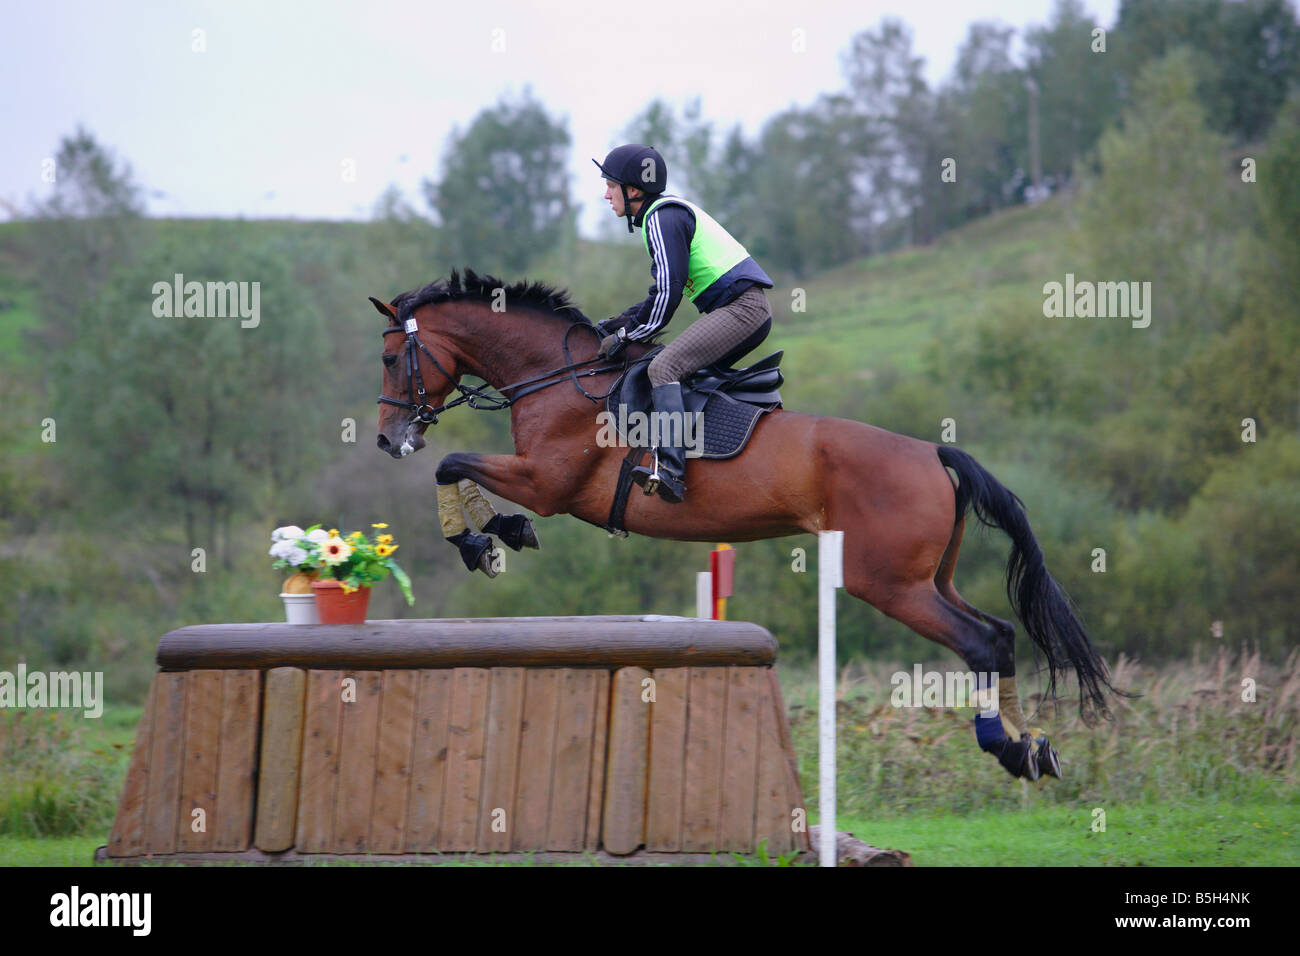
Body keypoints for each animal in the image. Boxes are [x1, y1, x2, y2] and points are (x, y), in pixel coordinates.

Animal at [371, 268, 1124, 780]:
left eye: (387, 358)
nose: (388, 439)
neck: (556, 377)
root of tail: (933, 453)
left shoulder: (549, 482)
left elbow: (453, 465)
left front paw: (483, 538)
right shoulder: (539, 478)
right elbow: (458, 468)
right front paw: (496, 532)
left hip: (889, 584)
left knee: (978, 641)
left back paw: (1007, 749)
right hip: (929, 577)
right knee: (999, 635)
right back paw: (1031, 749)